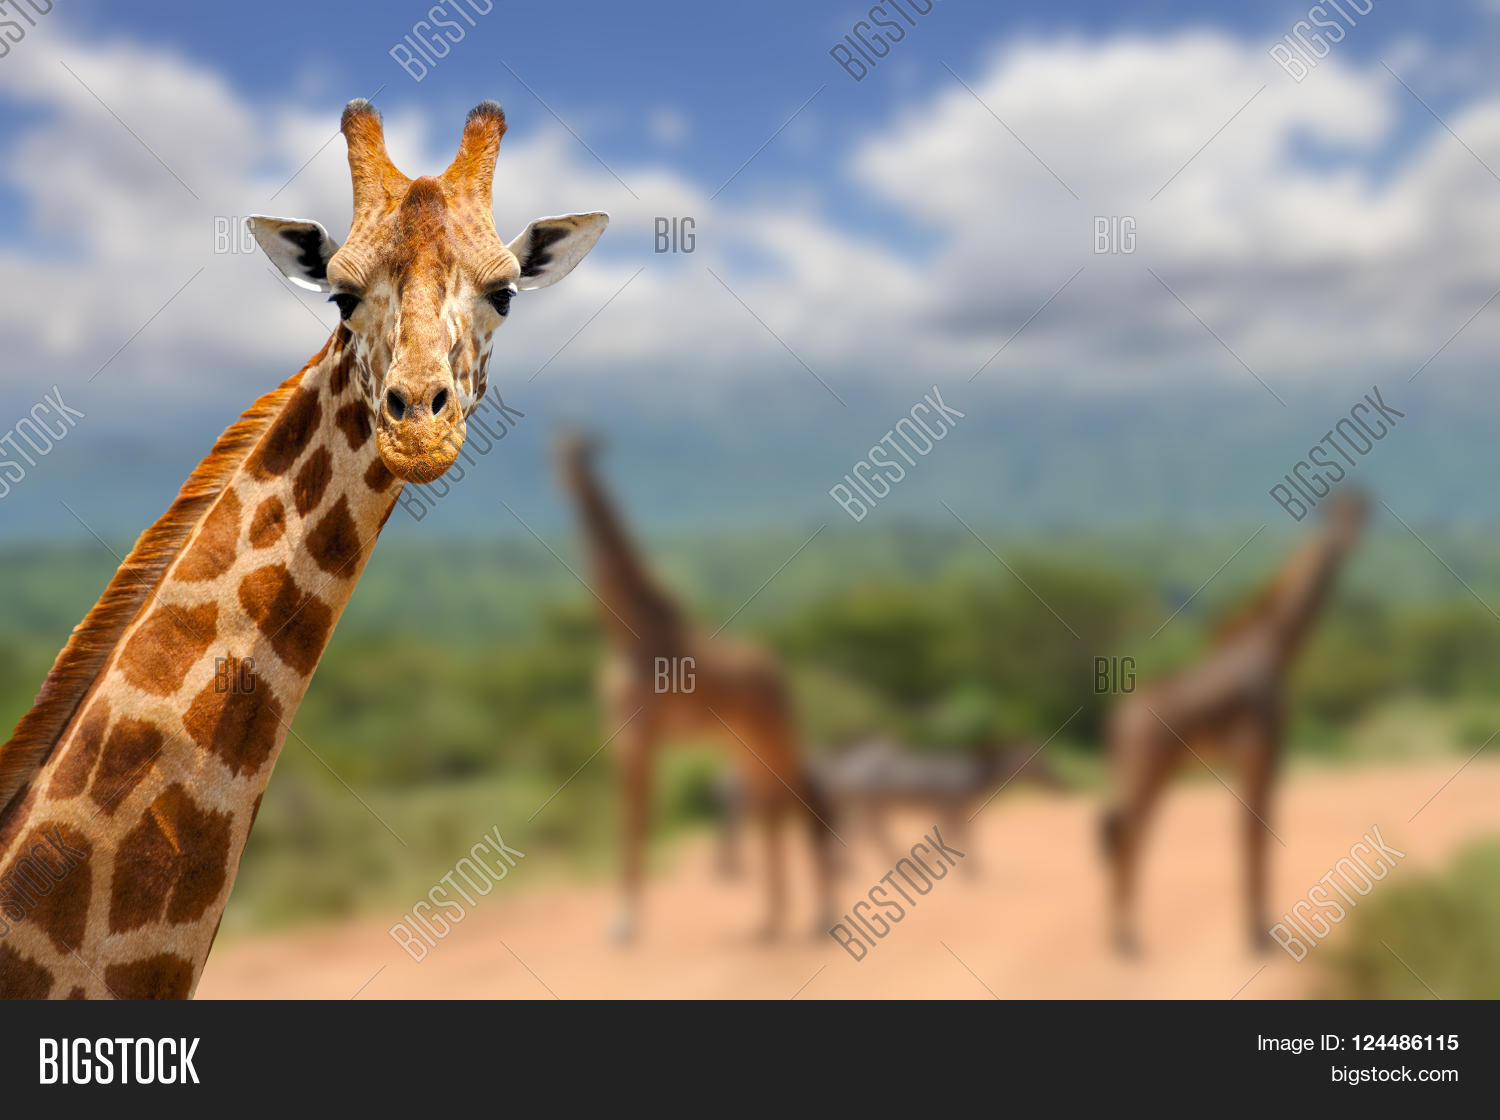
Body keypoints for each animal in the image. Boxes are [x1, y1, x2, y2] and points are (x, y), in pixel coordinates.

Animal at [552, 432, 836, 942]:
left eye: (582, 456)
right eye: (556, 451)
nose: (564, 478)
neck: (627, 633)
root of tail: (780, 670)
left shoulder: (640, 736)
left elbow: (635, 821)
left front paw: (624, 923)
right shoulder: (621, 740)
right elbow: (630, 821)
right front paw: (623, 920)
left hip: (776, 735)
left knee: (805, 799)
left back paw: (820, 919)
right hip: (744, 747)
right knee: (771, 810)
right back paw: (770, 922)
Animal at [1100, 490, 1367, 956]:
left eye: (1360, 513)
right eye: (1335, 515)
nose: (1347, 543)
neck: (1275, 646)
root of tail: (1118, 721)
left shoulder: (1269, 756)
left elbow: (1259, 835)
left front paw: (1259, 933)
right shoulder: (1259, 750)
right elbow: (1253, 837)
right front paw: (1257, 938)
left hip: (1151, 773)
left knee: (1123, 834)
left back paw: (1124, 936)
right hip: (1145, 770)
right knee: (1128, 836)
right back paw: (1126, 942)